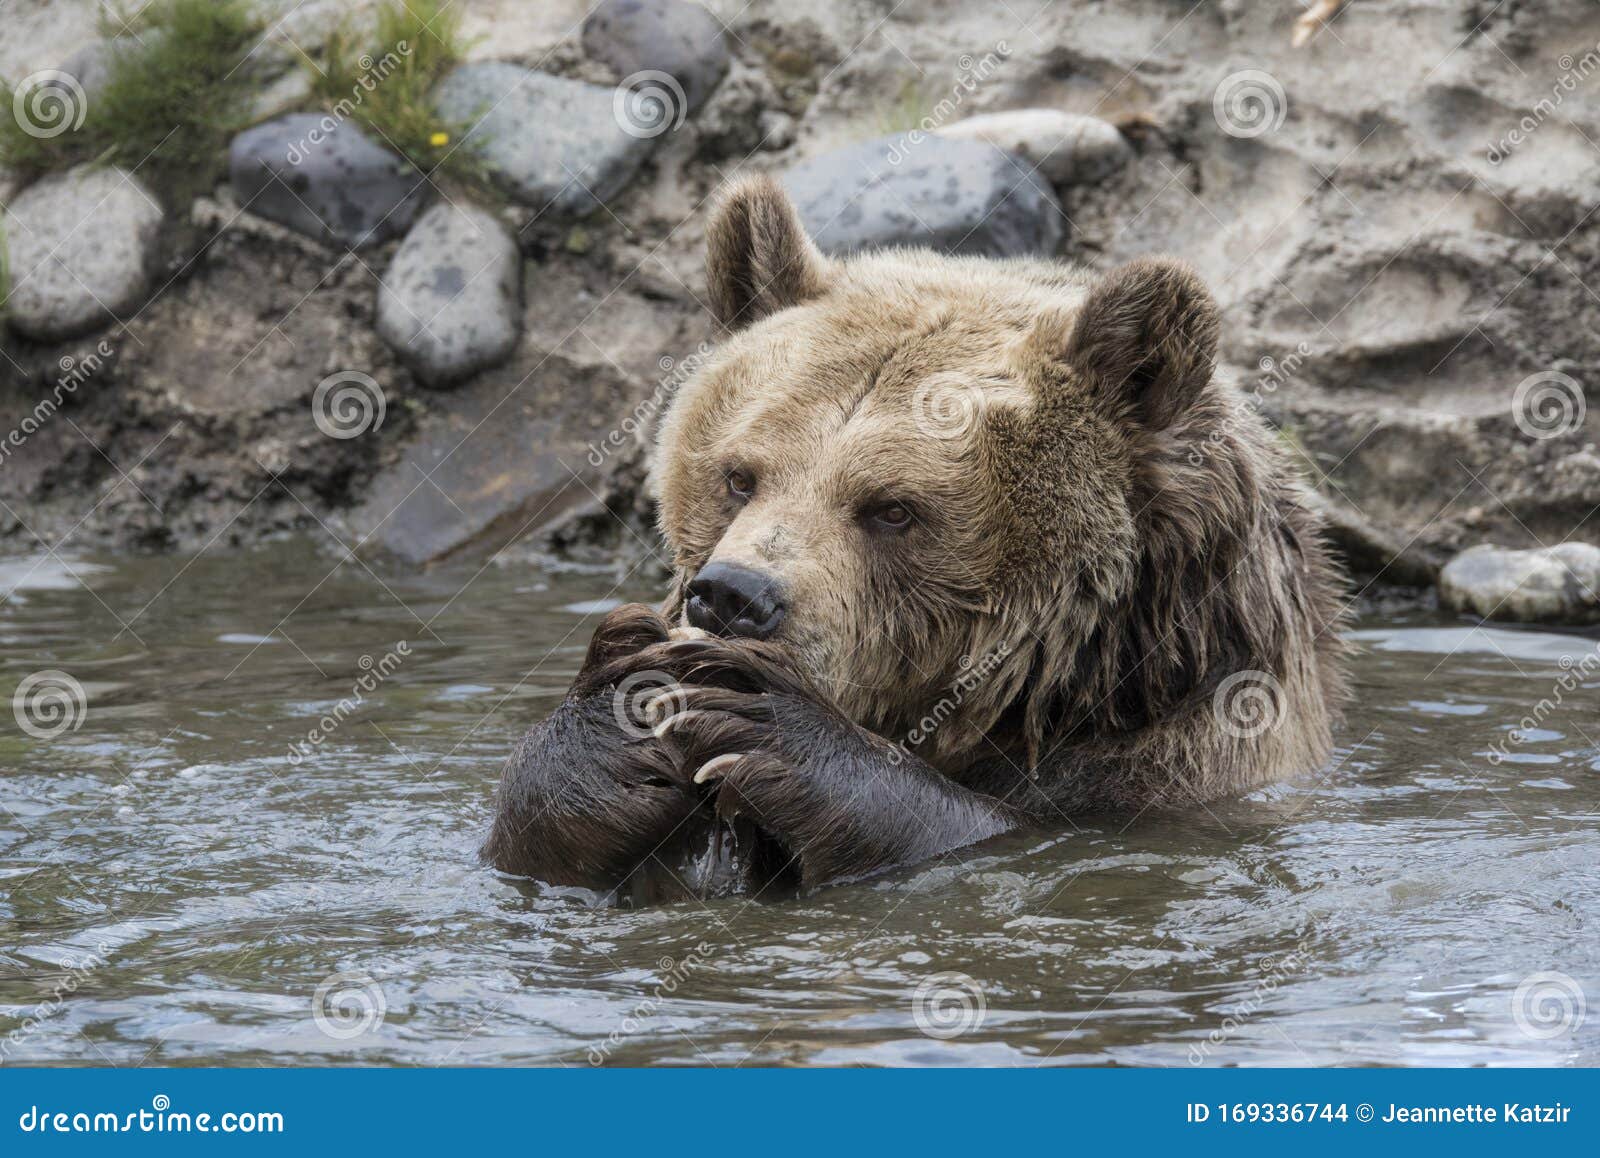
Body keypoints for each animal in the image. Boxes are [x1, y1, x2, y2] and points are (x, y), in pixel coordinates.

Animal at [482, 174, 1348, 899]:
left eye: (892, 508)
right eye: (740, 475)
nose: (733, 595)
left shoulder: (1175, 768)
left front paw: (772, 727)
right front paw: (614, 715)